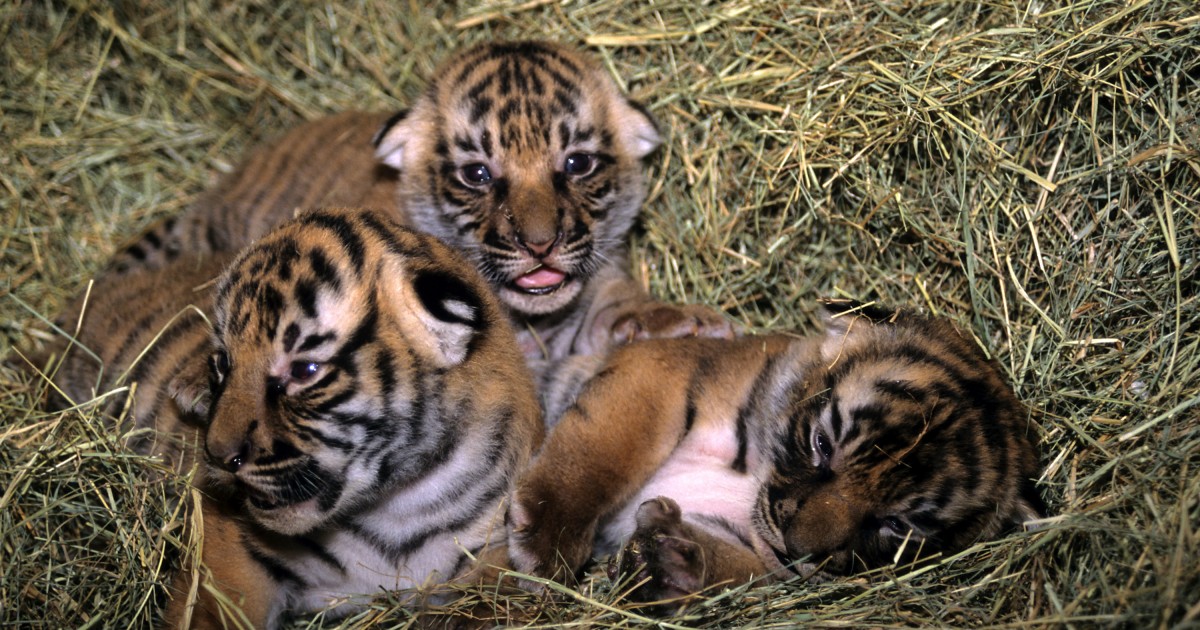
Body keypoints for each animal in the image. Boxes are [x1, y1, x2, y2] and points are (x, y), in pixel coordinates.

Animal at [39, 207, 544, 628]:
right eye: (221, 363)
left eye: (304, 371)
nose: (218, 457)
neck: (396, 508)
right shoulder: (230, 553)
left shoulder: (494, 551)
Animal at [106, 40, 733, 366]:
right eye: (477, 174)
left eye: (577, 164)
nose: (540, 245)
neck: (533, 321)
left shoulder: (596, 290)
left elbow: (620, 304)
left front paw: (682, 320)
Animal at [509, 299, 1046, 608]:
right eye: (822, 444)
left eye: (897, 526)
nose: (797, 547)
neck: (753, 479)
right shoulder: (663, 374)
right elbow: (602, 452)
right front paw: (546, 543)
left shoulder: (759, 555)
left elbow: (735, 564)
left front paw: (669, 565)